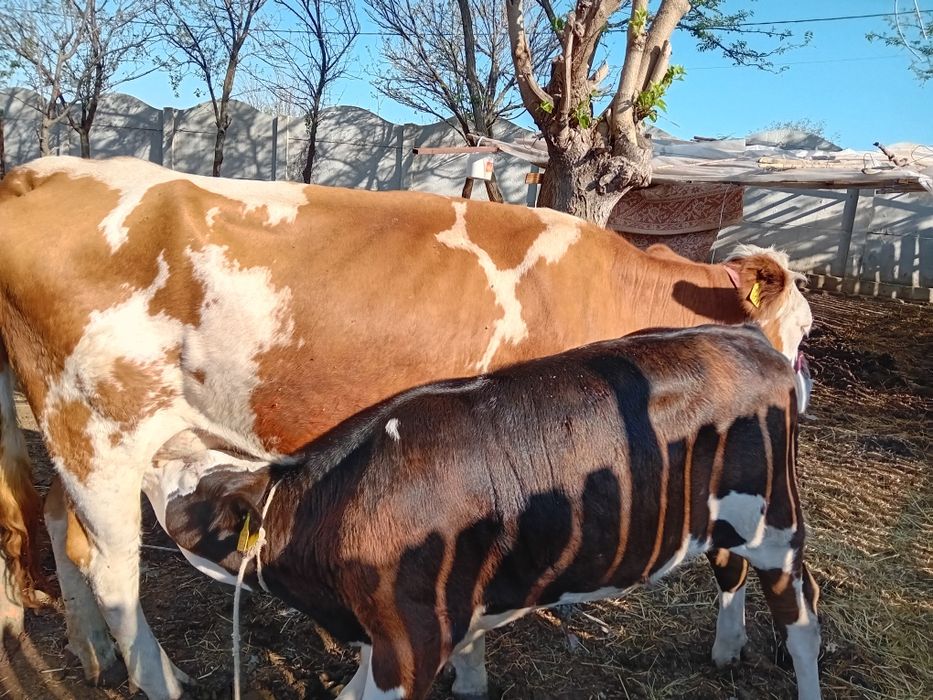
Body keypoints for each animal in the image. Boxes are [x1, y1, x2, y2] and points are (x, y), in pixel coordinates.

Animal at [148, 324, 821, 699]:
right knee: (730, 571)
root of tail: (748, 336)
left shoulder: (411, 640)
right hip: (723, 521)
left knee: (802, 616)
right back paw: (726, 652)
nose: (152, 450)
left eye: (184, 496)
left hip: (777, 522)